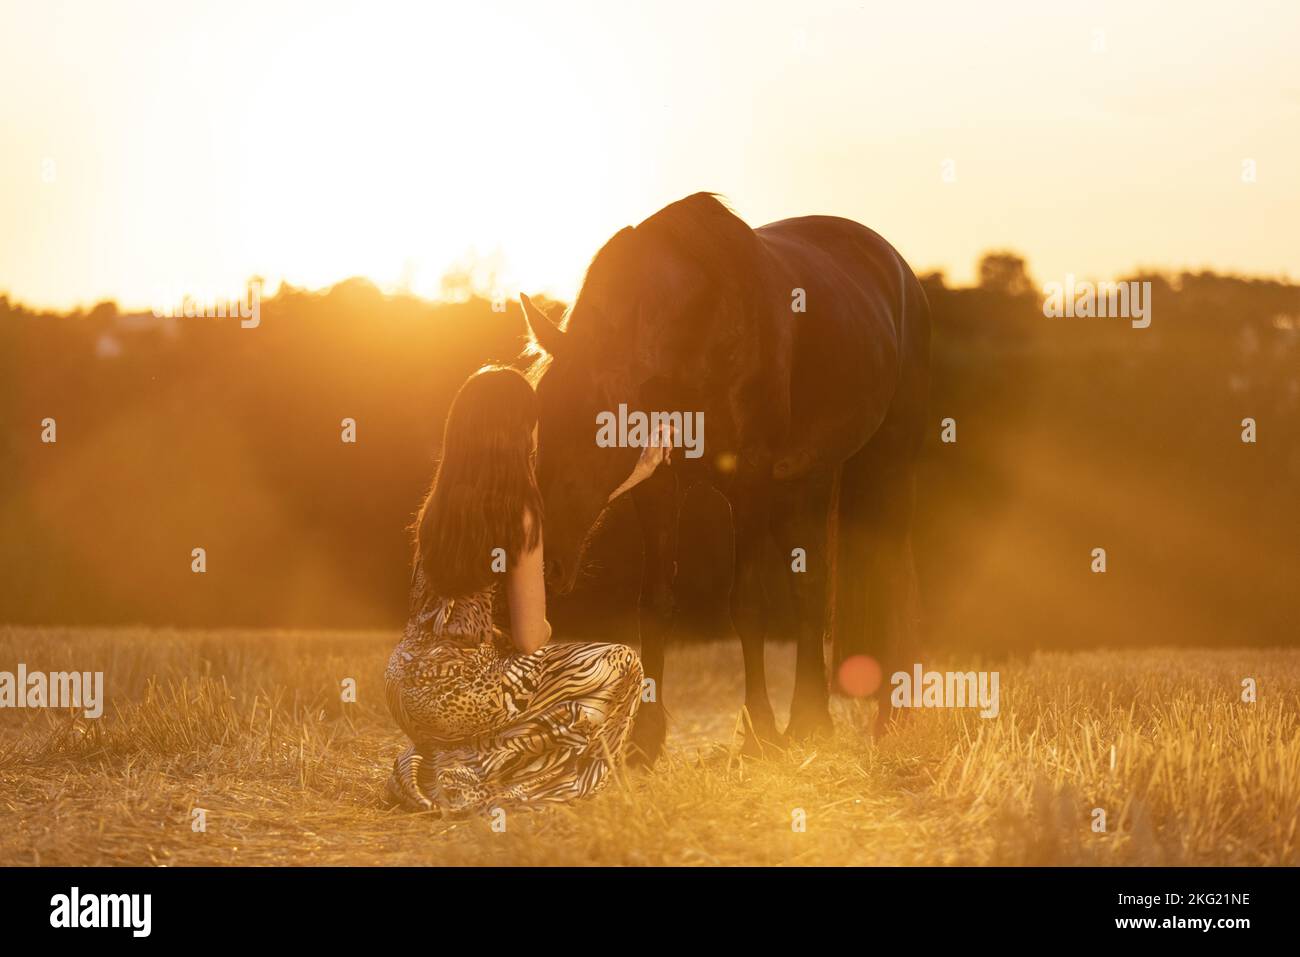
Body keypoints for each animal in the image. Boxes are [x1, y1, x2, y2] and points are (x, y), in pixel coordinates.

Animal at [520, 193, 930, 761]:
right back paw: (810, 722)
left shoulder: (750, 484)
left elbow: (747, 605)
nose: (549, 565)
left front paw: (759, 733)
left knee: (894, 579)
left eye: (589, 424)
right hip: (804, 482)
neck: (699, 329)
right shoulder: (660, 487)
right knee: (812, 586)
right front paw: (645, 742)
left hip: (889, 462)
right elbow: (656, 604)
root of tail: (898, 268)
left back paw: (886, 721)